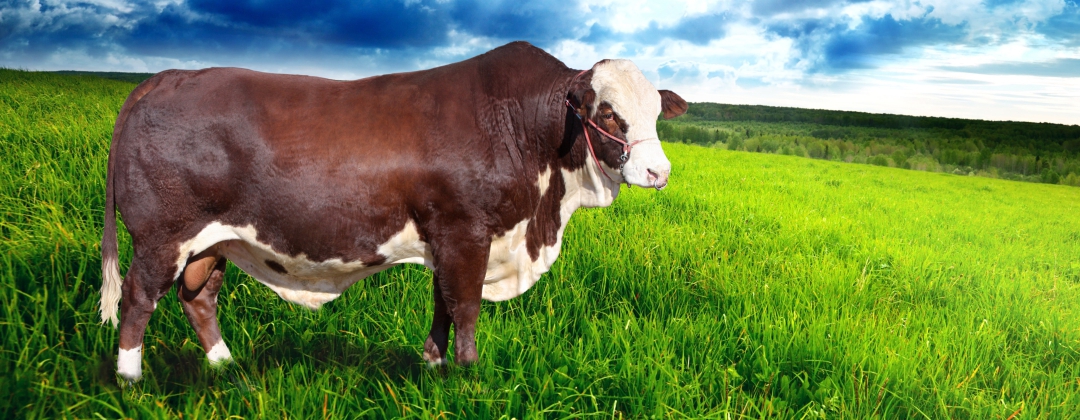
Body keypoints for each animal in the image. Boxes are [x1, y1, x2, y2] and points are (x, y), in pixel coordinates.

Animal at [100, 41, 687, 383]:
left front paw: (435, 364)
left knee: (198, 297)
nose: (659, 172)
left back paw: (225, 364)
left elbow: (443, 304)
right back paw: (130, 380)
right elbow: (466, 306)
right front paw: (469, 375)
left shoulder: (447, 240)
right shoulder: (465, 230)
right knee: (138, 298)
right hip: (161, 234)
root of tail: (165, 76)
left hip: (214, 239)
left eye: (657, 111)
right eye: (606, 111)